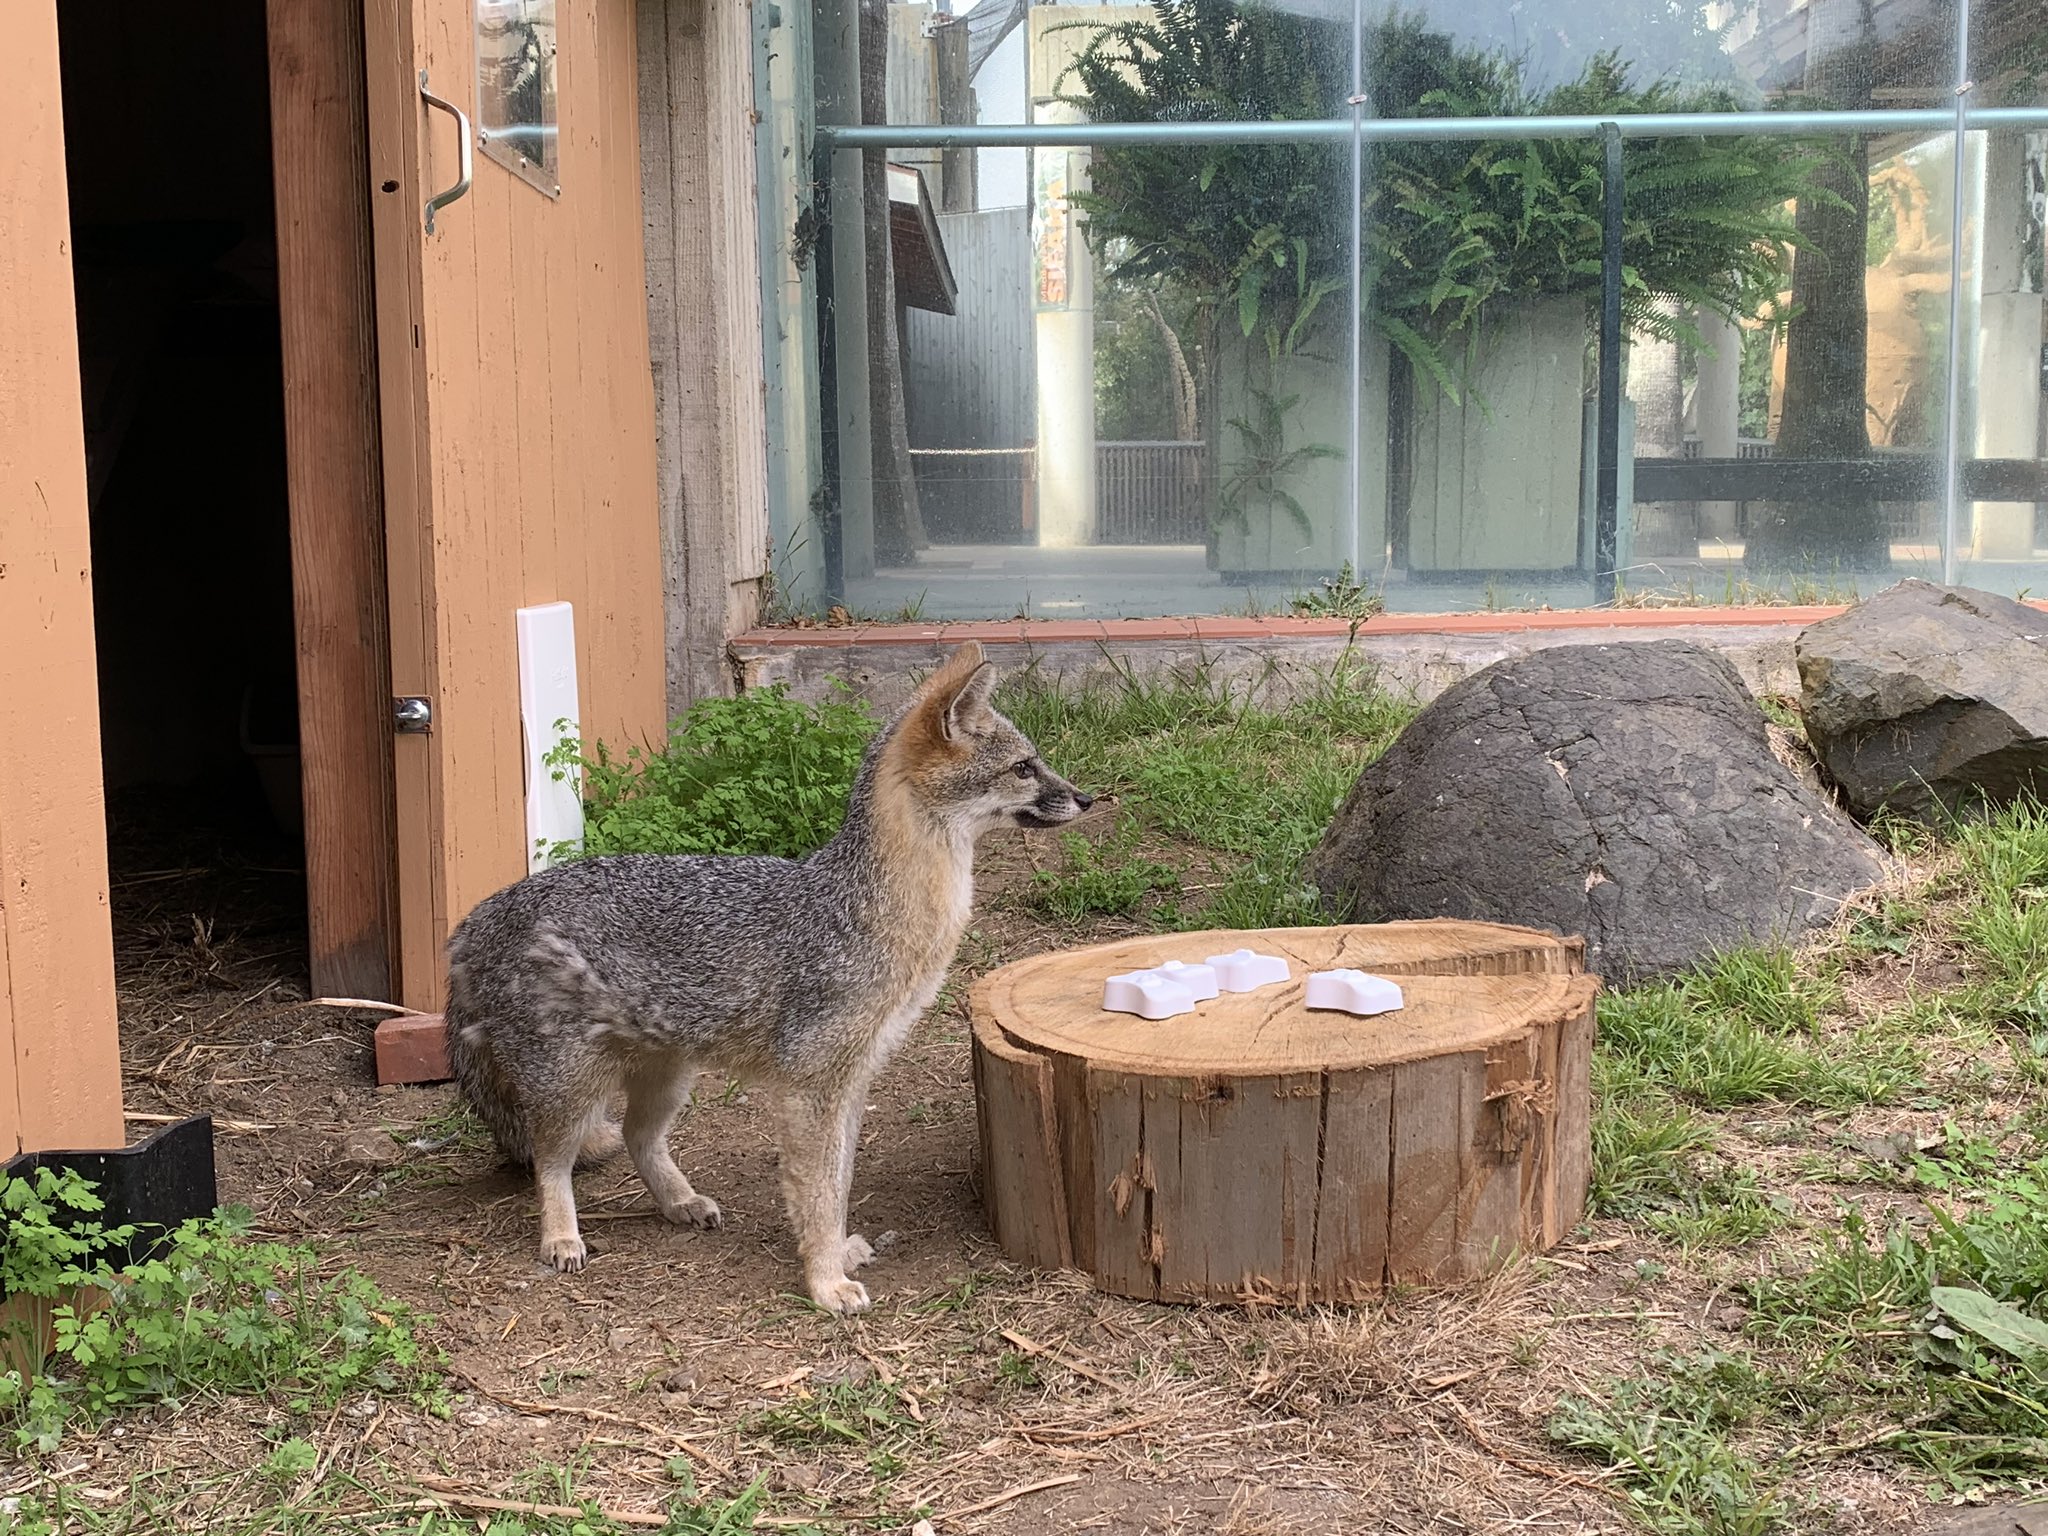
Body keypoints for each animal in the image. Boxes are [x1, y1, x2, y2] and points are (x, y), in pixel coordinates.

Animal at [442, 642, 1091, 1314]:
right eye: (1025, 768)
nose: (1088, 799)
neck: (866, 909)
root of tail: (482, 912)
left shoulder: (852, 1079)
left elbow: (839, 1182)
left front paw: (835, 1253)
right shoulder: (812, 1085)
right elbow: (819, 1190)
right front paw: (825, 1282)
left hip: (669, 1075)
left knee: (637, 1136)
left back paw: (679, 1202)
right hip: (574, 1089)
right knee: (551, 1159)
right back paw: (562, 1236)